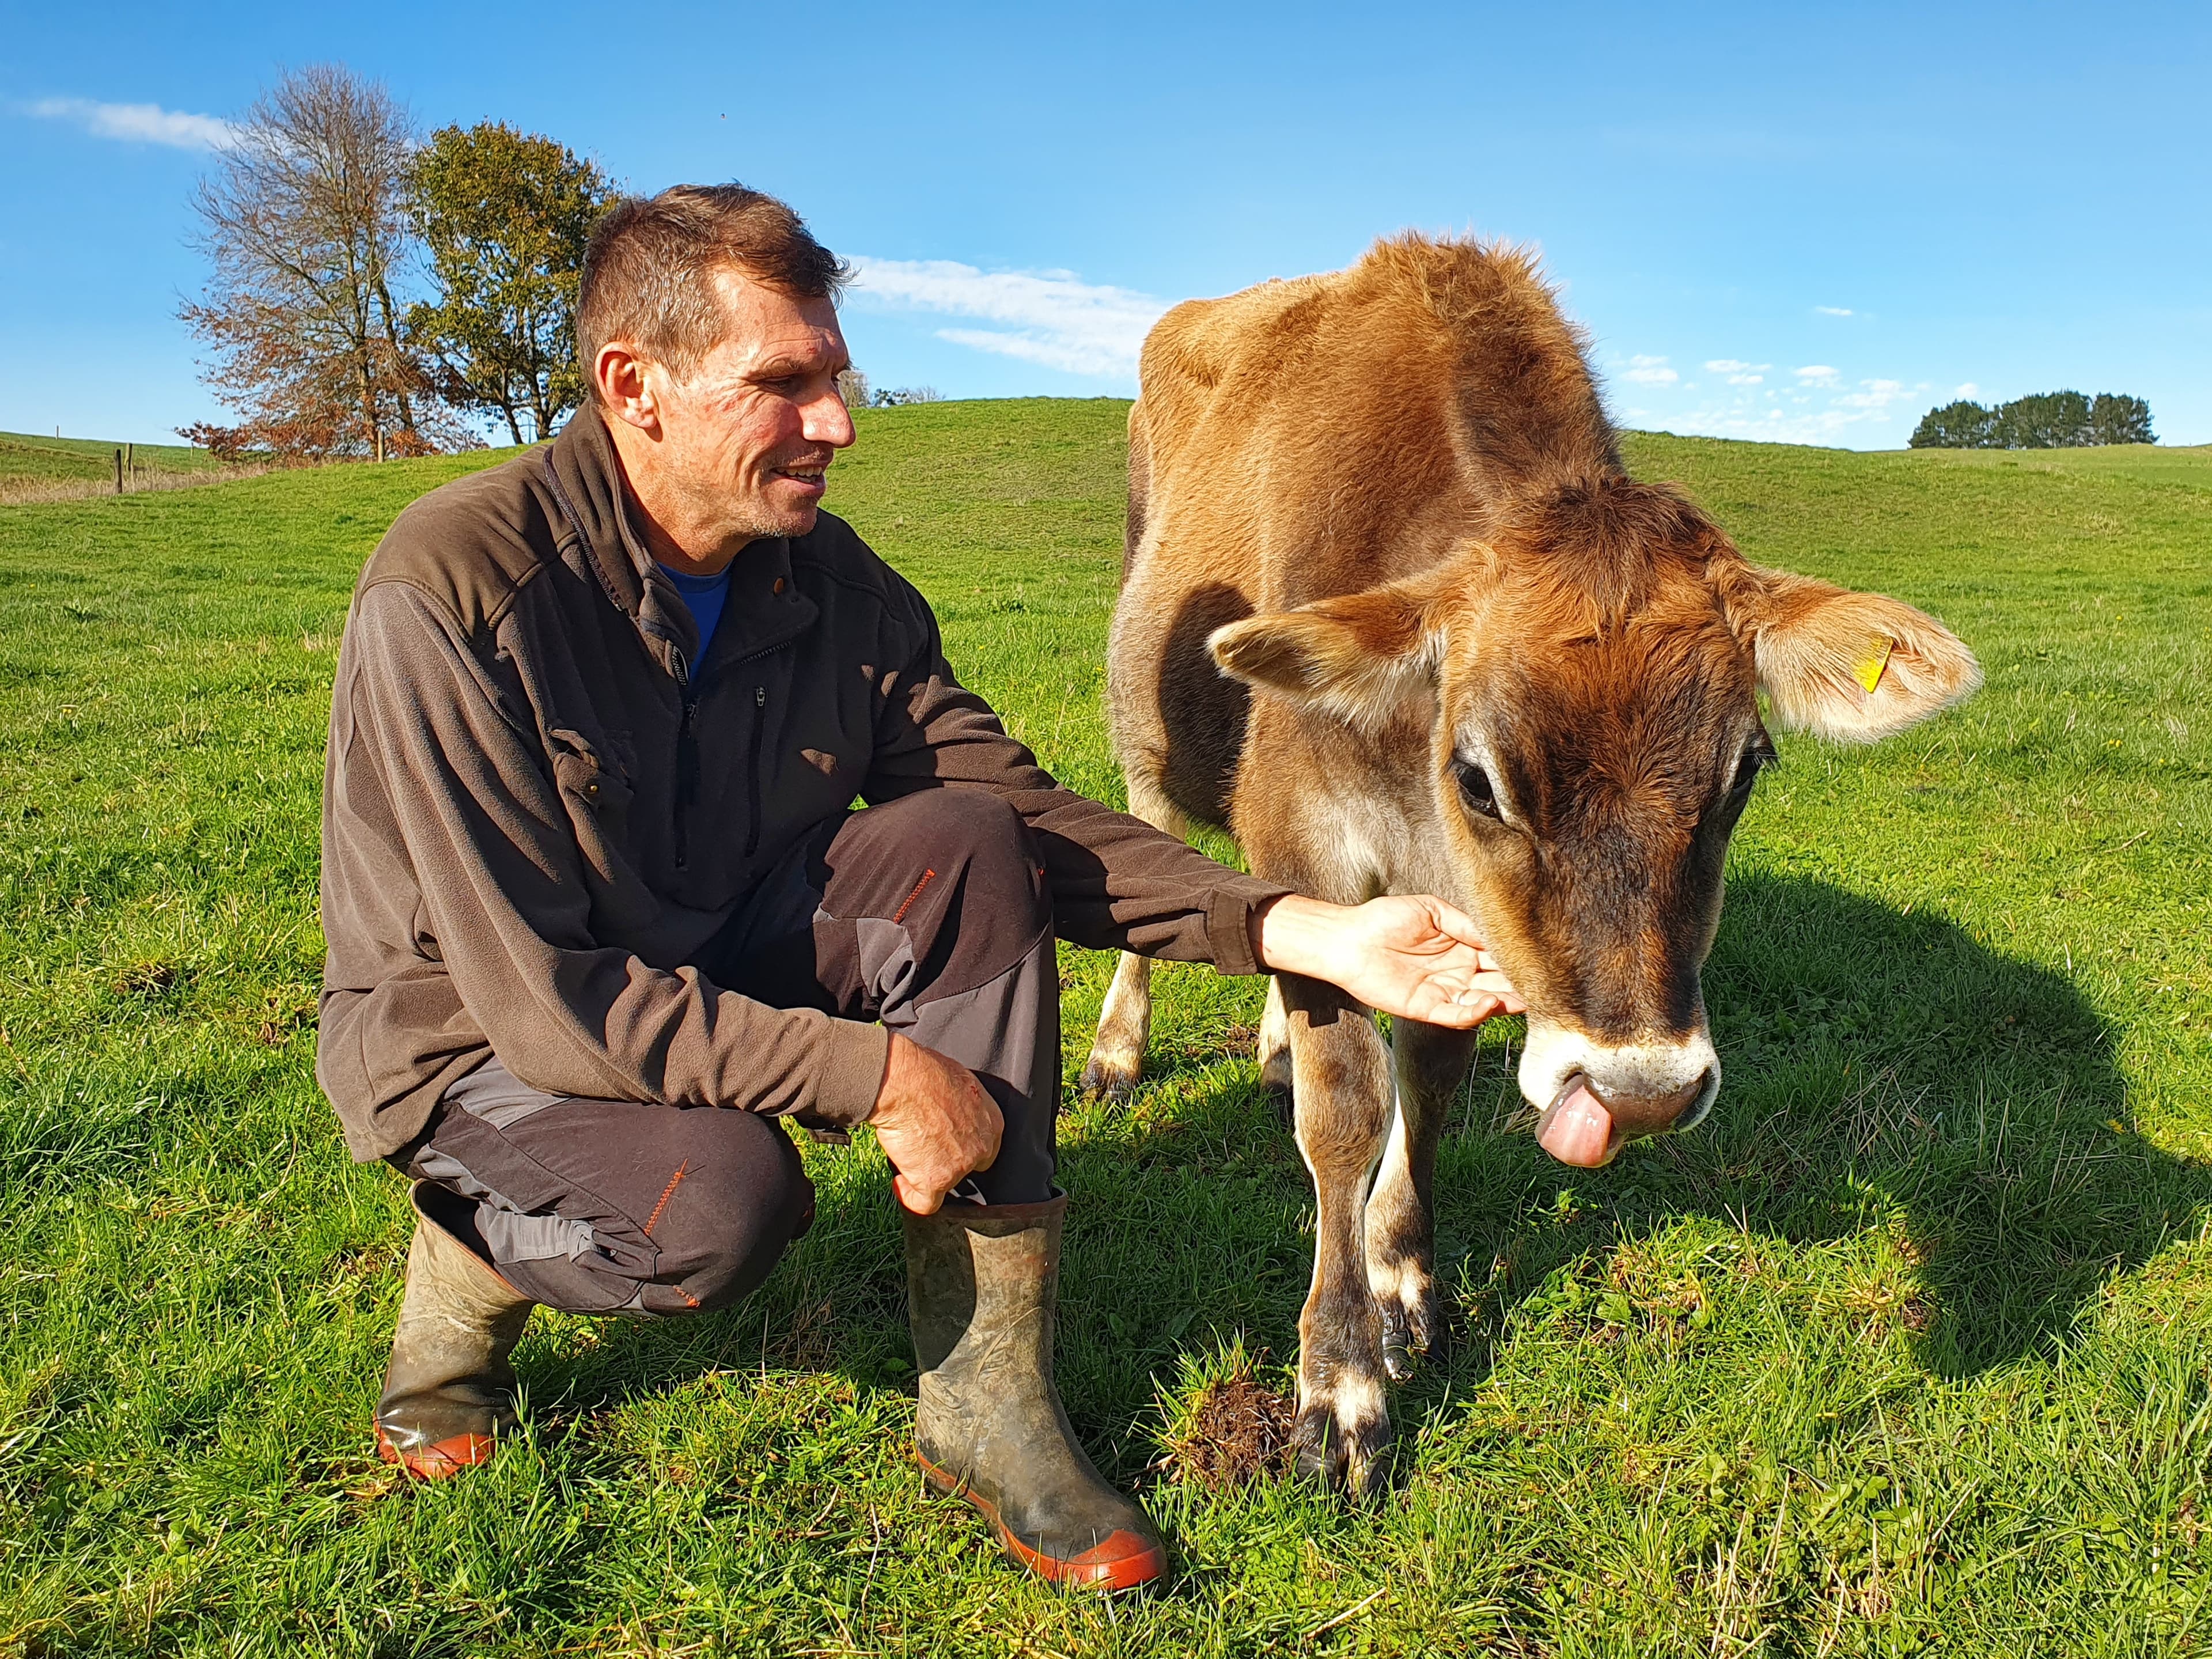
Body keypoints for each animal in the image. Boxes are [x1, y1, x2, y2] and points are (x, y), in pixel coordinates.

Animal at [1078, 235, 1981, 1496]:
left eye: (1748, 768)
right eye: (1478, 777)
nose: (1640, 1093)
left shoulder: (1447, 919)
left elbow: (1433, 1081)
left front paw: (1406, 1275)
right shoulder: (1304, 830)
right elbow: (1346, 1105)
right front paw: (1339, 1381)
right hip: (1148, 722)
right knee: (1148, 854)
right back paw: (1118, 1054)